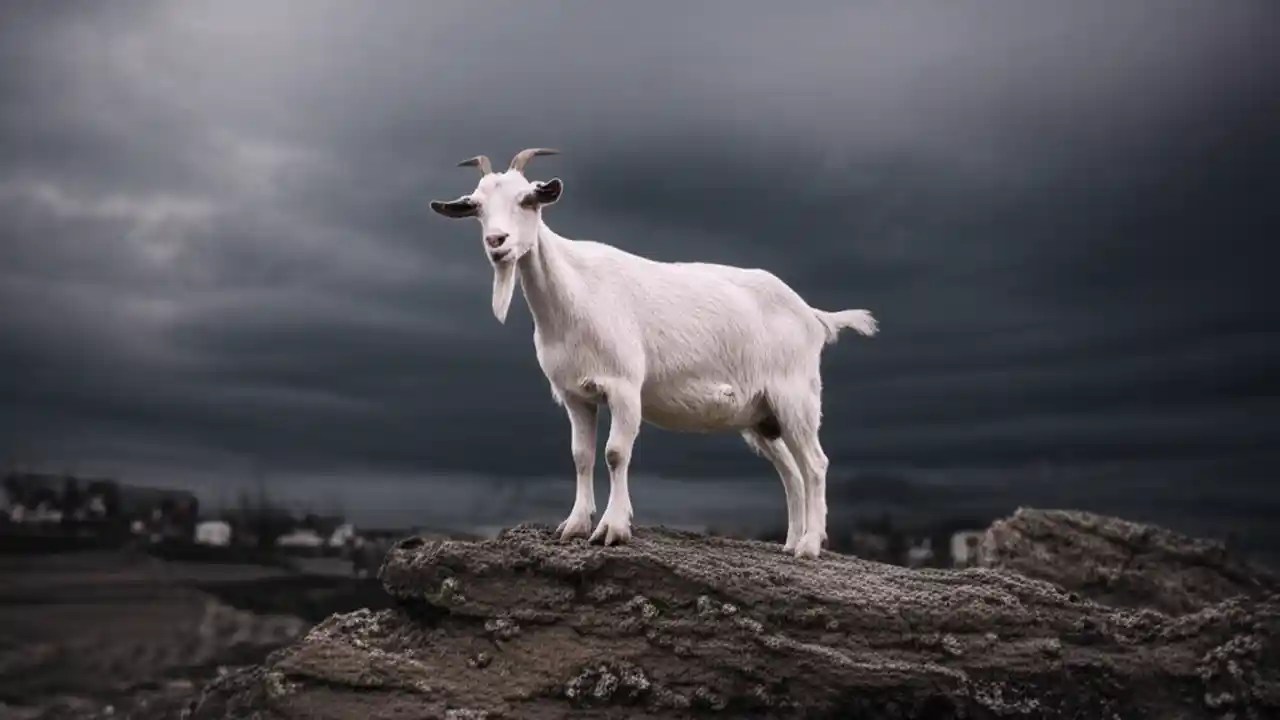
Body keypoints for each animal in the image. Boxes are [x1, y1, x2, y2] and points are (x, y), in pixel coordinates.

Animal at [430, 148, 878, 558]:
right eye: (476, 206)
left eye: (528, 199)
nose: (497, 243)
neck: (574, 293)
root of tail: (813, 315)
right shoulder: (574, 395)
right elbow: (581, 456)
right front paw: (575, 525)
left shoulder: (625, 386)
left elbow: (615, 453)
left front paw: (613, 528)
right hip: (761, 416)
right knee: (791, 472)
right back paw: (790, 543)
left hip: (795, 396)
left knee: (815, 464)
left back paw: (809, 547)